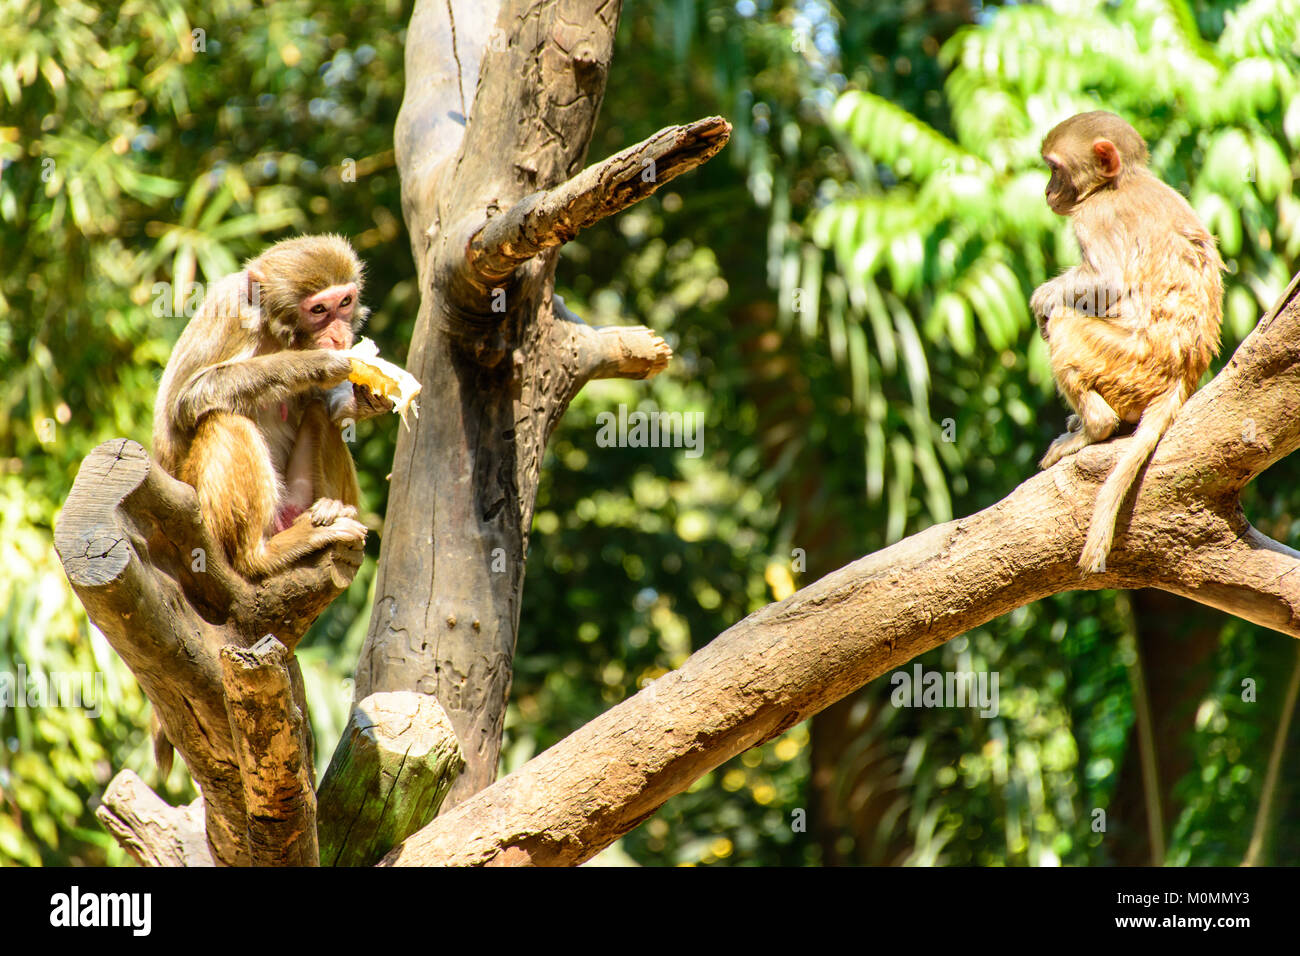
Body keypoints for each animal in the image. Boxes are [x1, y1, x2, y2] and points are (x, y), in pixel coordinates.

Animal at [153, 234, 392, 580]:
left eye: (345, 303)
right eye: (319, 309)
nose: (338, 338)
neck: (275, 332)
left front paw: (365, 399)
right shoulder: (231, 313)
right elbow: (186, 401)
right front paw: (312, 364)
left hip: (294, 505)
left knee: (319, 414)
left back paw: (331, 508)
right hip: (207, 516)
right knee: (225, 418)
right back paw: (258, 556)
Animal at [1030, 111, 1223, 574]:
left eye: (1054, 168)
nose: (1047, 190)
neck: (1120, 182)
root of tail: (1182, 379)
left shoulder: (1095, 214)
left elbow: (1107, 280)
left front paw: (1043, 299)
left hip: (1128, 361)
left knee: (1066, 323)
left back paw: (1094, 427)